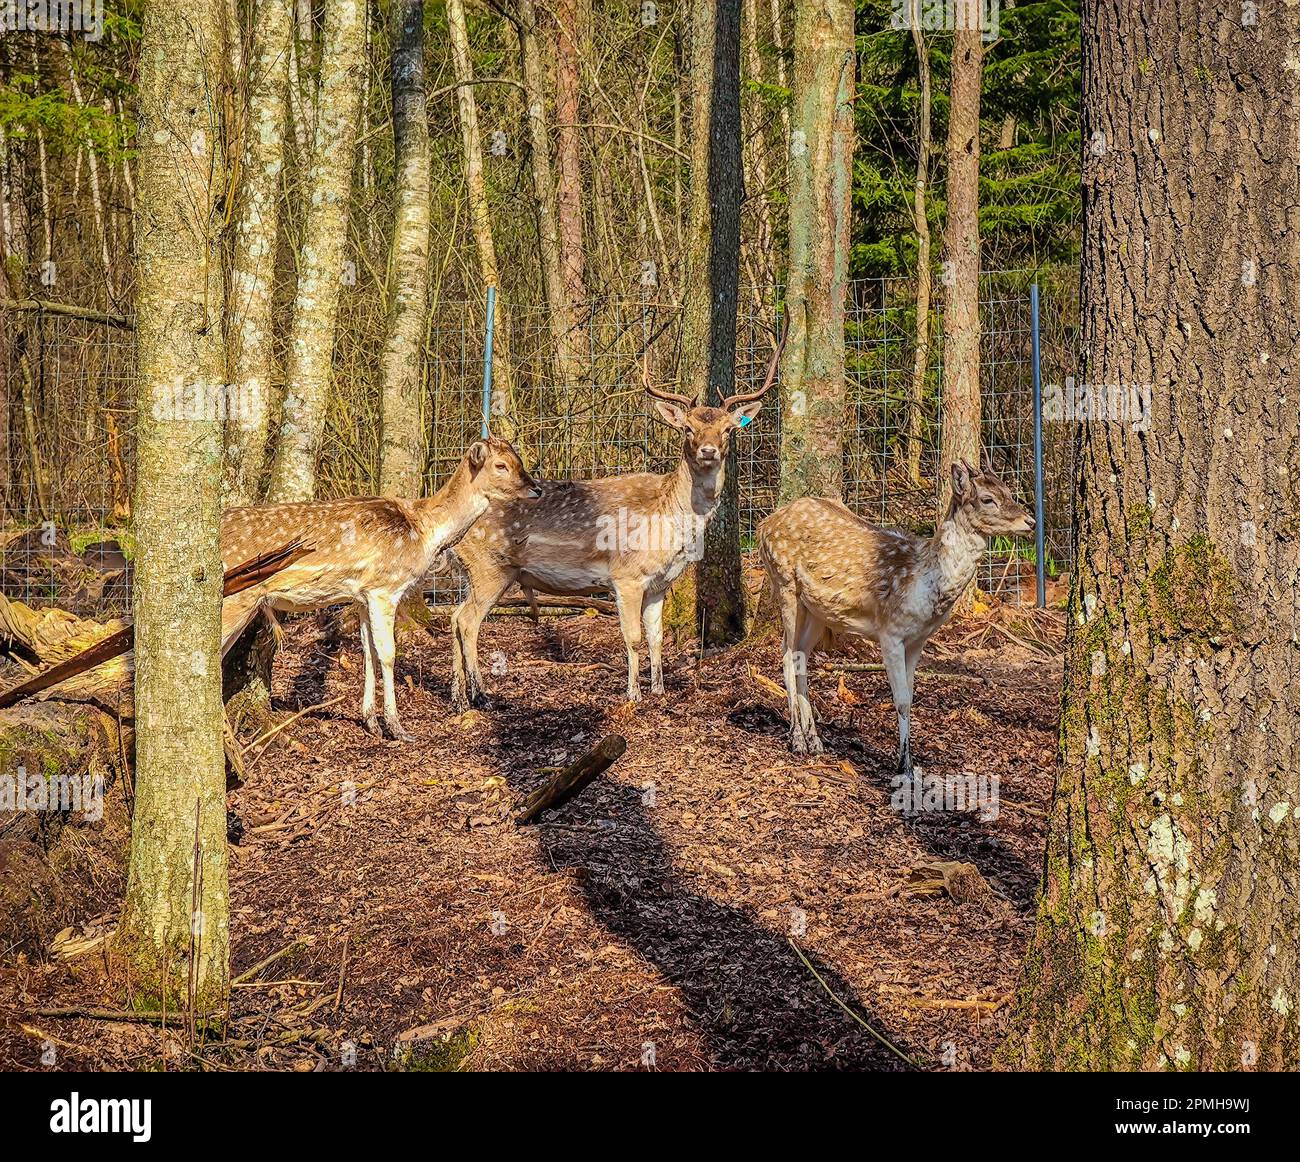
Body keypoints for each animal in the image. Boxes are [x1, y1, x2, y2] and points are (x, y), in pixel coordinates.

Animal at [219, 436, 540, 741]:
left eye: (519, 459)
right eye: (501, 465)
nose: (536, 489)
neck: (424, 531)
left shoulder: (362, 595)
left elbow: (368, 651)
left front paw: (371, 722)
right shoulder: (384, 588)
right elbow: (388, 653)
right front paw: (397, 727)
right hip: (236, 600)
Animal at [448, 330, 786, 709]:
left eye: (728, 429)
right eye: (687, 428)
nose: (708, 451)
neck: (672, 528)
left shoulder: (660, 583)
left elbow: (656, 636)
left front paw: (658, 690)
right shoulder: (627, 576)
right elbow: (633, 637)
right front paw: (633, 694)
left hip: (475, 572)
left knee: (454, 616)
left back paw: (458, 697)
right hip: (490, 567)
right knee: (467, 621)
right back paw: (481, 695)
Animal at [758, 458, 1034, 772]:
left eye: (1008, 491)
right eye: (988, 499)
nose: (1030, 522)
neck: (924, 582)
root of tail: (763, 524)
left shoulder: (918, 640)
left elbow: (911, 699)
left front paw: (910, 763)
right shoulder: (890, 631)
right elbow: (900, 699)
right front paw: (904, 768)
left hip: (817, 609)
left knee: (801, 654)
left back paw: (815, 740)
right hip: (783, 582)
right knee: (786, 654)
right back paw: (797, 739)